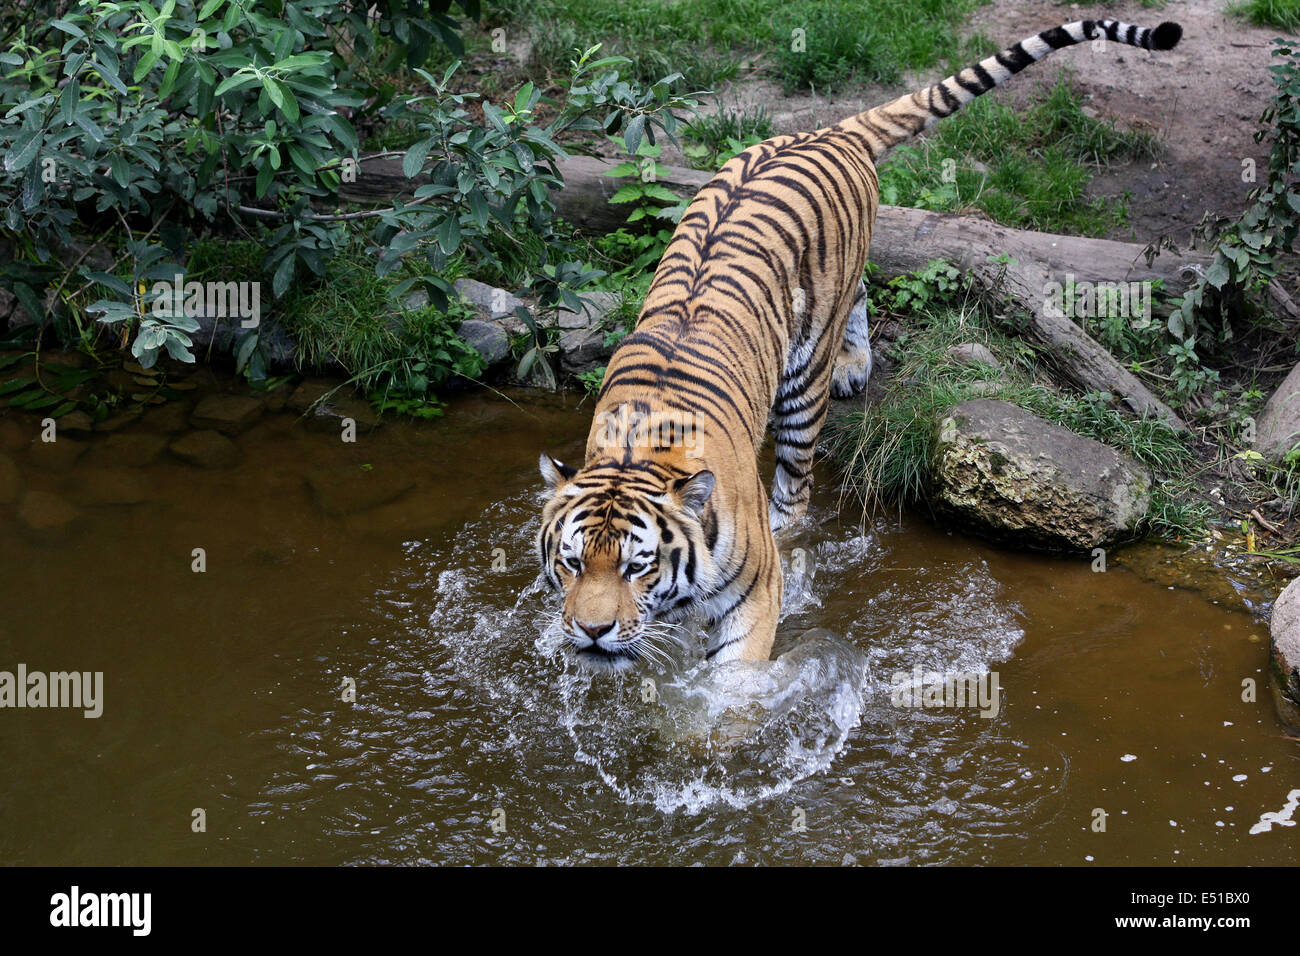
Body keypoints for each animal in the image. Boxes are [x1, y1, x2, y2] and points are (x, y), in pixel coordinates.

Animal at [537, 18, 1183, 671]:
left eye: (637, 567)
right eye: (571, 563)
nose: (591, 630)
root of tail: (829, 130)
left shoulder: (751, 592)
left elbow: (732, 682)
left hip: (803, 377)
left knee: (797, 488)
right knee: (866, 289)